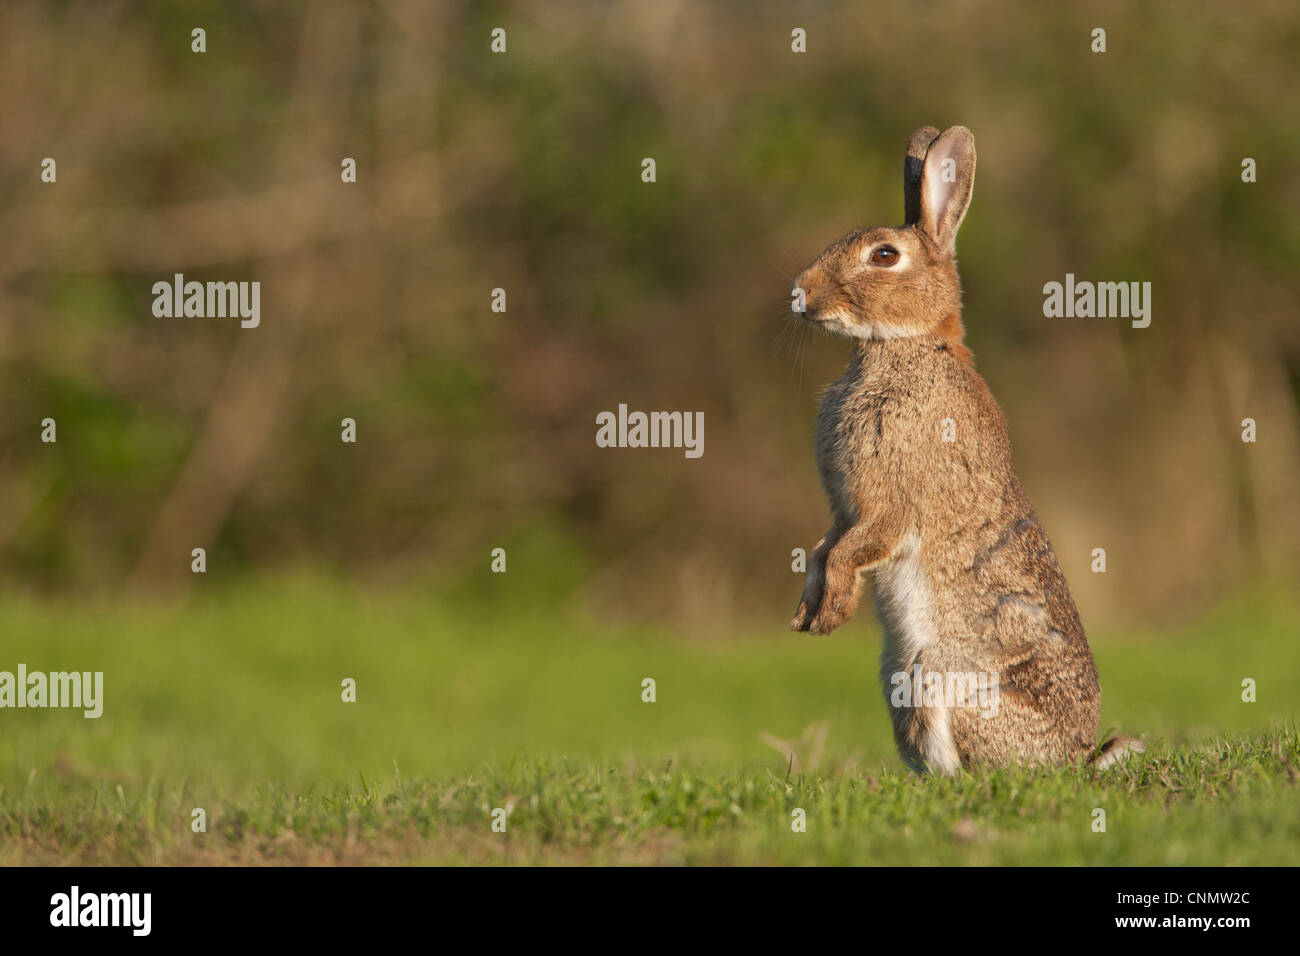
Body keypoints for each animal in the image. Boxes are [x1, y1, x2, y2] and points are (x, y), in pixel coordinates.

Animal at [789, 125, 1143, 774]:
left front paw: (832, 613)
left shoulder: (892, 501)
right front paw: (807, 614)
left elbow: (852, 549)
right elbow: (824, 549)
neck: (906, 345)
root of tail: (1074, 760)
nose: (799, 294)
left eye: (883, 256)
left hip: (936, 674)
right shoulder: (843, 510)